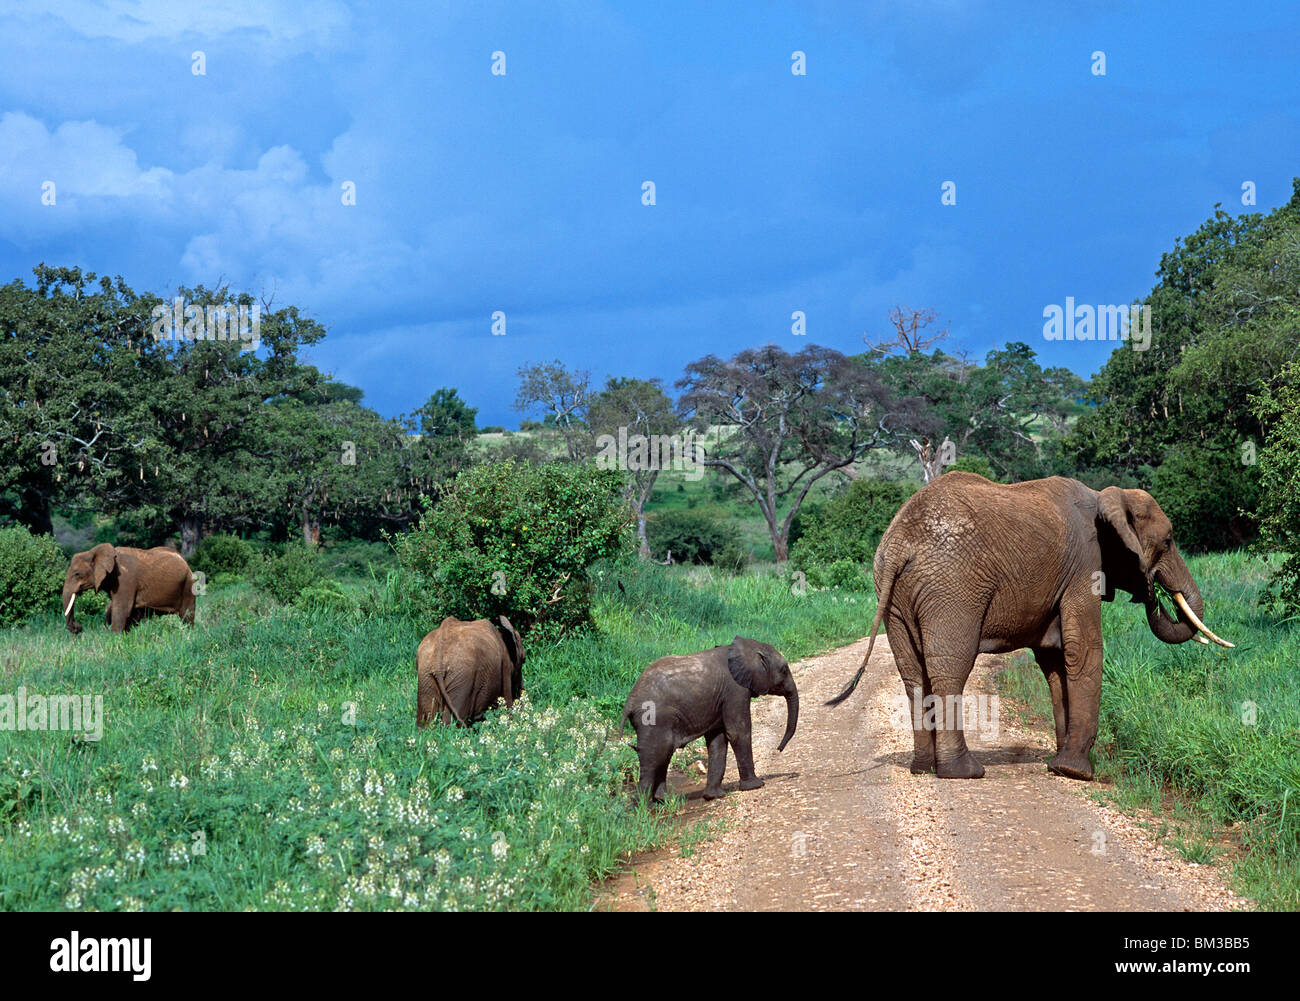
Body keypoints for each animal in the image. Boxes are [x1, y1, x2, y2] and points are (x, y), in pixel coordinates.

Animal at [63, 543, 197, 634]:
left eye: (77, 574)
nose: (78, 627)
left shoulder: (125, 580)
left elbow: (121, 610)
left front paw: (114, 638)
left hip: (188, 585)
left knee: (187, 616)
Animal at [620, 636, 799, 801]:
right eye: (784, 669)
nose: (778, 749)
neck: (746, 648)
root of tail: (630, 701)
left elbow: (717, 741)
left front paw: (714, 796)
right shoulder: (735, 690)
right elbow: (738, 732)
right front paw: (756, 786)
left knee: (663, 755)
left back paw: (664, 800)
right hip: (654, 718)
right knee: (656, 755)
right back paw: (642, 805)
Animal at [827, 472, 1233, 781]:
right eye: (1167, 541)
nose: (1153, 591)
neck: (1106, 496)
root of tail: (899, 543)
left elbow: (1054, 659)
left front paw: (1060, 762)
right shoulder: (1085, 565)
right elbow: (1083, 650)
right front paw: (1076, 772)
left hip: (893, 594)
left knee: (912, 673)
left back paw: (922, 768)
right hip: (952, 588)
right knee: (951, 668)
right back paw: (964, 772)